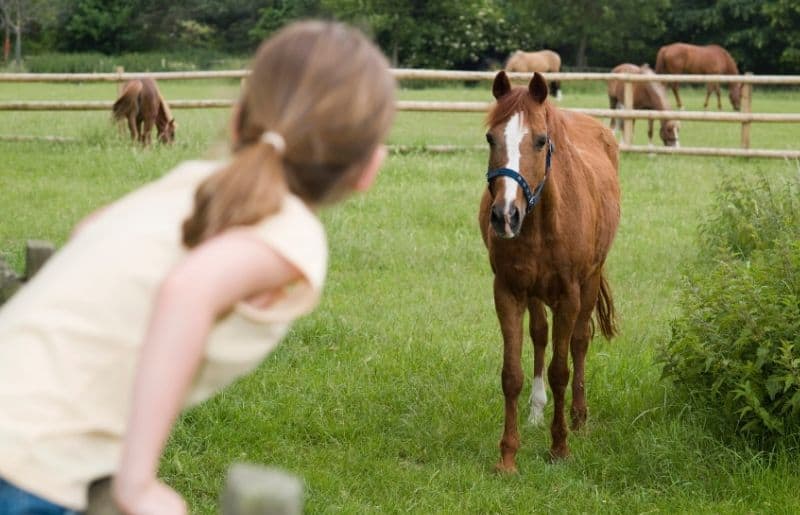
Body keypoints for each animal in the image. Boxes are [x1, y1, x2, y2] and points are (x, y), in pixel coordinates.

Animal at [480, 71, 620, 470]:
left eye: (541, 141)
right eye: (491, 137)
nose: (505, 216)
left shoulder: (568, 295)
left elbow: (561, 370)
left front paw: (560, 446)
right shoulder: (508, 291)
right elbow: (511, 374)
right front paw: (508, 456)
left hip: (589, 281)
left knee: (579, 342)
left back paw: (579, 417)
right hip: (534, 293)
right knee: (540, 336)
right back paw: (537, 410)